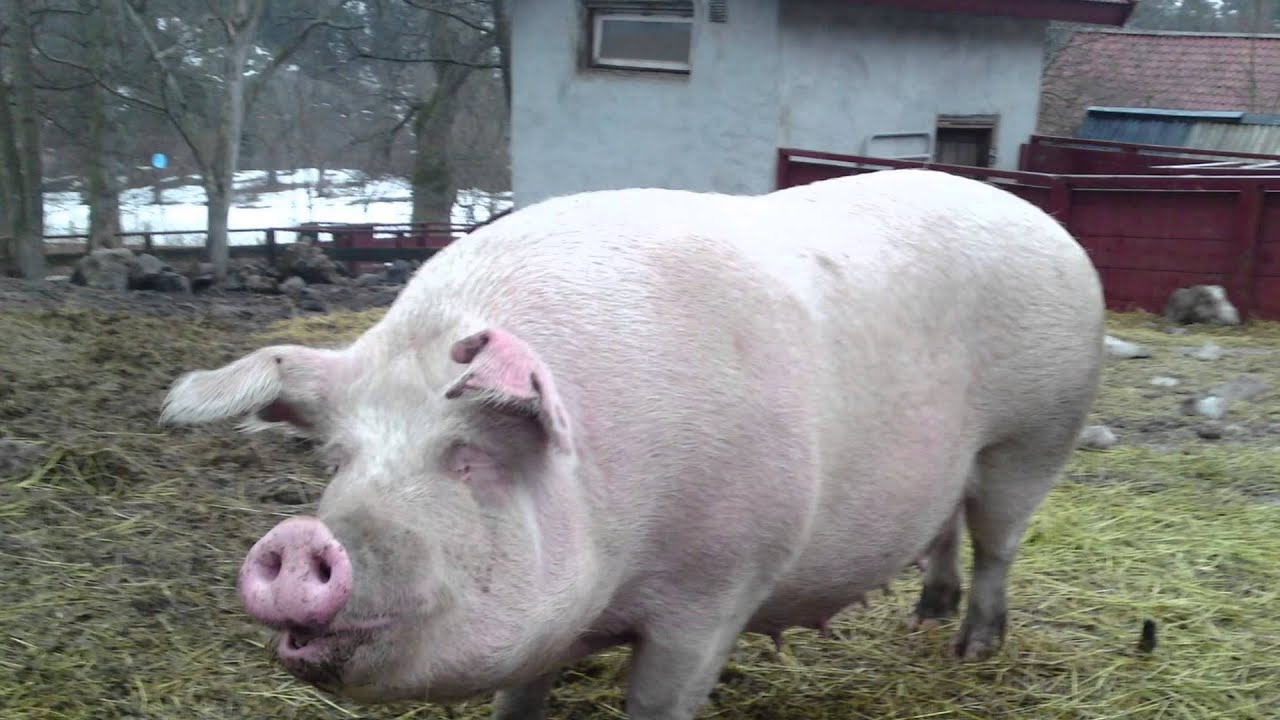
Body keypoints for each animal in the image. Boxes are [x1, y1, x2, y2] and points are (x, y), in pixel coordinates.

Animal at [160, 168, 1105, 719]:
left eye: (466, 460)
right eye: (340, 463)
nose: (298, 542)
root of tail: (1048, 223)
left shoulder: (717, 587)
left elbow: (658, 701)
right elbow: (518, 697)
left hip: (1034, 434)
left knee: (998, 540)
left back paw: (970, 649)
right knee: (945, 527)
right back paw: (925, 616)